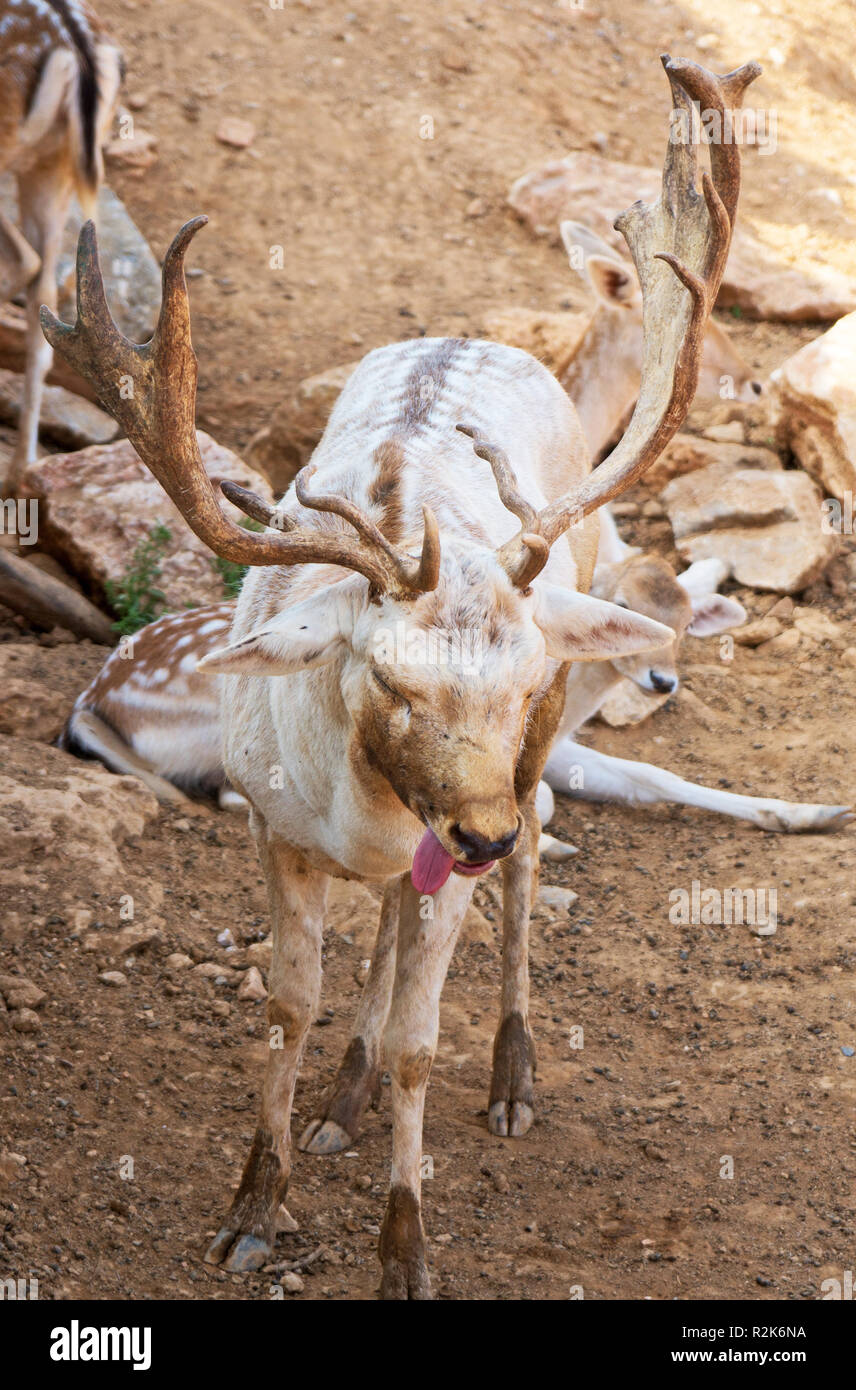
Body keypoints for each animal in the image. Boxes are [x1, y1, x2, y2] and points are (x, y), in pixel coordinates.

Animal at [44, 54, 759, 1298]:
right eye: (387, 678)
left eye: (519, 676)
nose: (474, 830)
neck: (363, 800)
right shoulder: (271, 824)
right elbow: (288, 1004)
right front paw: (255, 1203)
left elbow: (429, 1039)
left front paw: (405, 1247)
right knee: (399, 903)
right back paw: (346, 1089)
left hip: (540, 736)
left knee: (533, 843)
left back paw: (511, 1074)